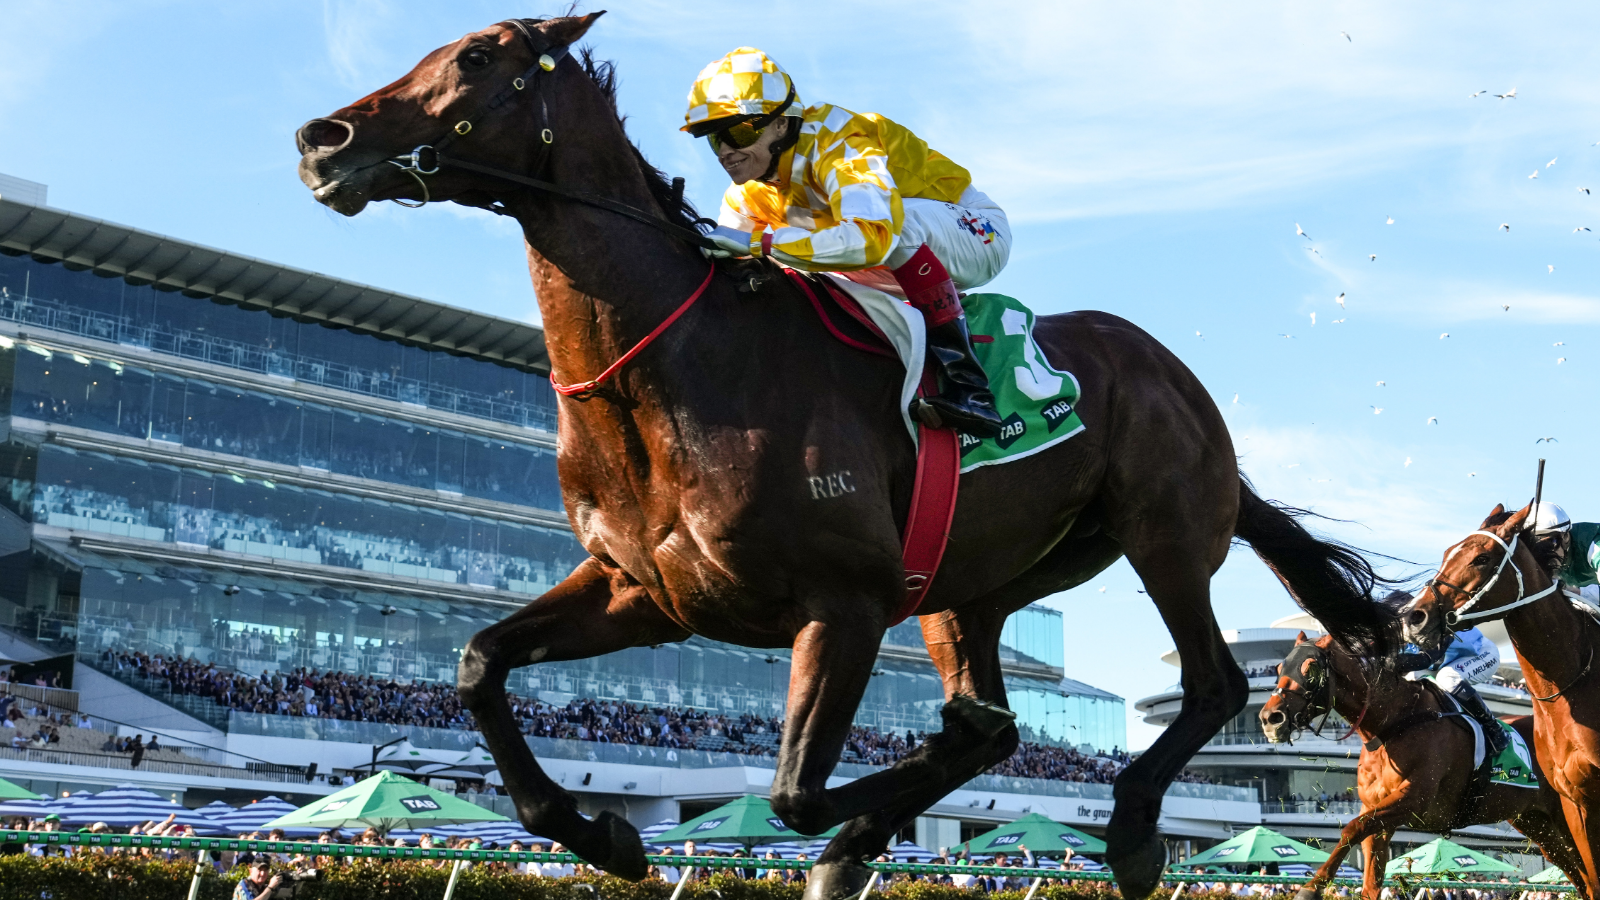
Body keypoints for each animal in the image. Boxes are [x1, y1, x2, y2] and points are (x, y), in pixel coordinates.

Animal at [292, 14, 1395, 898]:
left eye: (477, 58)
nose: (319, 140)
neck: (680, 368)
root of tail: (1172, 373)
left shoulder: (846, 603)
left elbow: (790, 794)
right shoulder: (640, 592)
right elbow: (479, 662)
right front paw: (599, 832)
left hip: (1162, 531)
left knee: (1211, 686)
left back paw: (1124, 832)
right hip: (971, 587)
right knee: (1004, 713)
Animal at [1260, 632, 1585, 900]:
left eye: (1309, 669)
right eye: (1278, 669)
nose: (1269, 718)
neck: (1393, 725)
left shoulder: (1412, 799)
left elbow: (1352, 828)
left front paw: (1311, 887)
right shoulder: (1379, 818)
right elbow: (1370, 878)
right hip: (1537, 824)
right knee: (1577, 872)